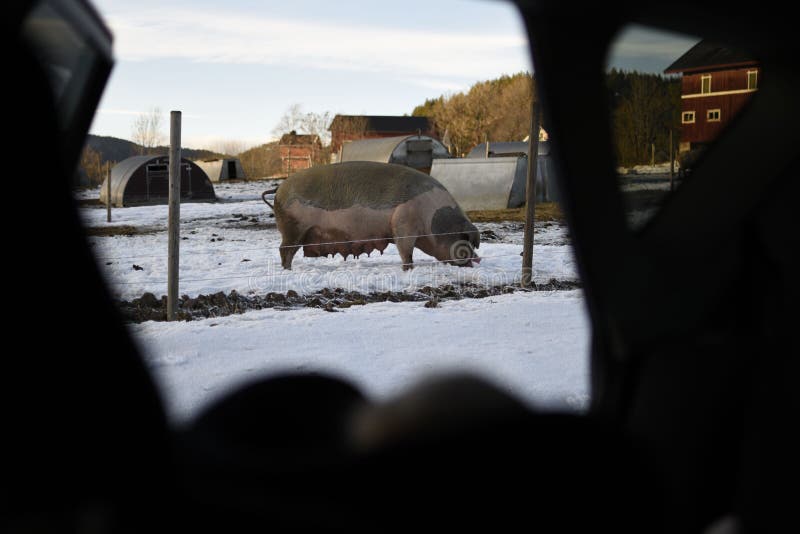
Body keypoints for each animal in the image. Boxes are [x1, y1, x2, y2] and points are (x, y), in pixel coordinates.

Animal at [264, 161, 480, 270]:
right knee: (285, 250)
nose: (477, 259)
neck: (432, 216)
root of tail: (279, 188)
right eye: (464, 239)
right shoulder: (403, 225)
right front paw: (408, 270)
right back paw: (287, 270)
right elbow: (406, 251)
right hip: (293, 228)